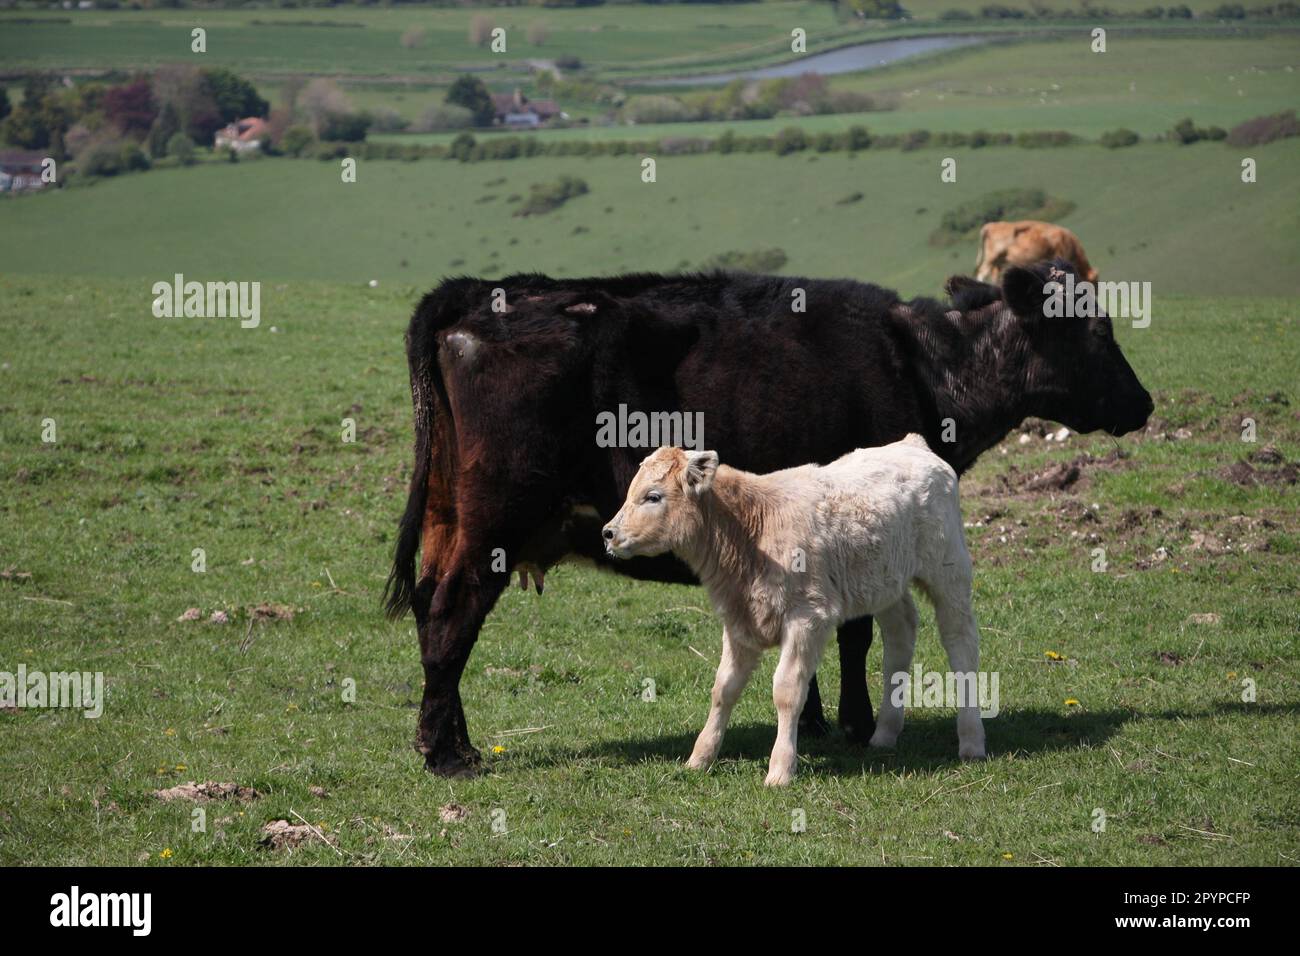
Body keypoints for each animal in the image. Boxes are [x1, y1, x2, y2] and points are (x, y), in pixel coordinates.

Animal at [602, 436, 982, 785]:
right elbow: (724, 688)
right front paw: (700, 757)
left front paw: (781, 769)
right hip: (886, 584)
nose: (608, 533)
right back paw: (884, 734)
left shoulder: (808, 618)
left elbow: (787, 691)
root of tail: (913, 444)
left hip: (949, 571)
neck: (753, 526)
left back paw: (971, 741)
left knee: (961, 643)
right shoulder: (739, 620)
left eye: (653, 496)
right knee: (900, 637)